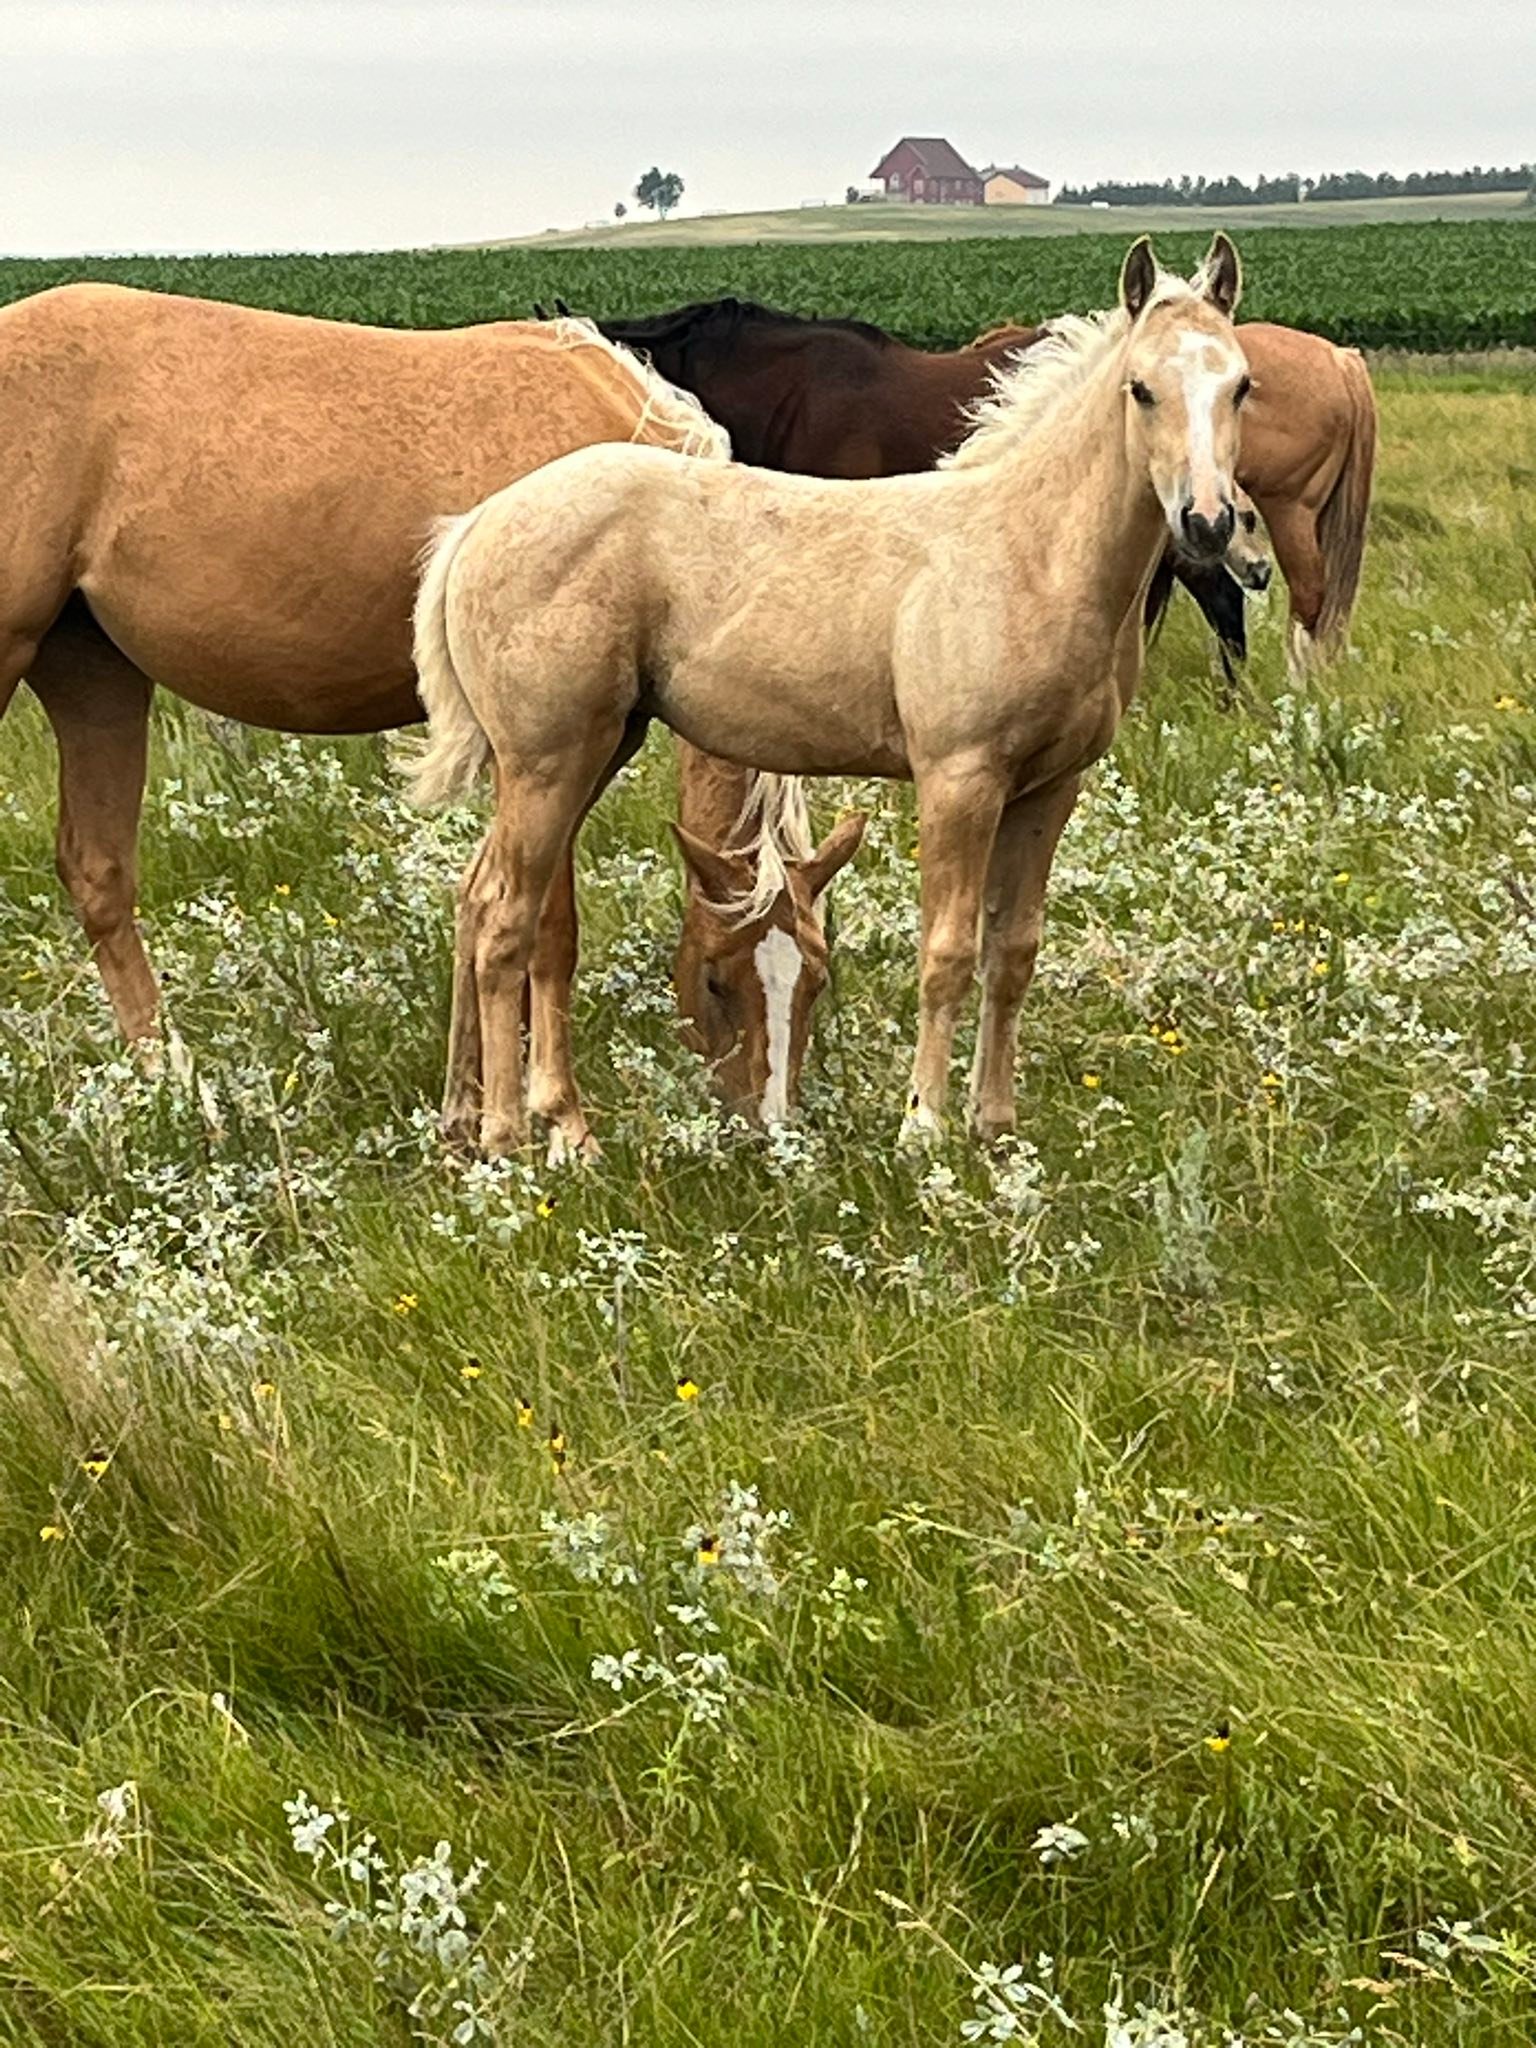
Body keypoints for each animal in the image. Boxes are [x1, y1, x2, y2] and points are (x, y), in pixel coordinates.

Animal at [0, 286, 858, 1140]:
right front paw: (555, 1121)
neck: (640, 509)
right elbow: (546, 927)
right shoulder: (556, 745)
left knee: (99, 874)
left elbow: (483, 901)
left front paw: (467, 1112)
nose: (770, 1128)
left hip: (94, 674)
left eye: (816, 979)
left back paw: (175, 1088)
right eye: (717, 979)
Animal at [412, 235, 1251, 1157]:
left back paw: (532, 1121)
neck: (1028, 552)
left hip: (592, 751)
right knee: (505, 925)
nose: (1208, 522)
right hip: (547, 762)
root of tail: (478, 525)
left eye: (1243, 385)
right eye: (1141, 388)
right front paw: (923, 1128)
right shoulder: (959, 781)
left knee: (490, 902)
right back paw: (509, 1138)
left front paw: (996, 1127)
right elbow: (947, 952)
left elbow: (1013, 952)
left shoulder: (1048, 788)